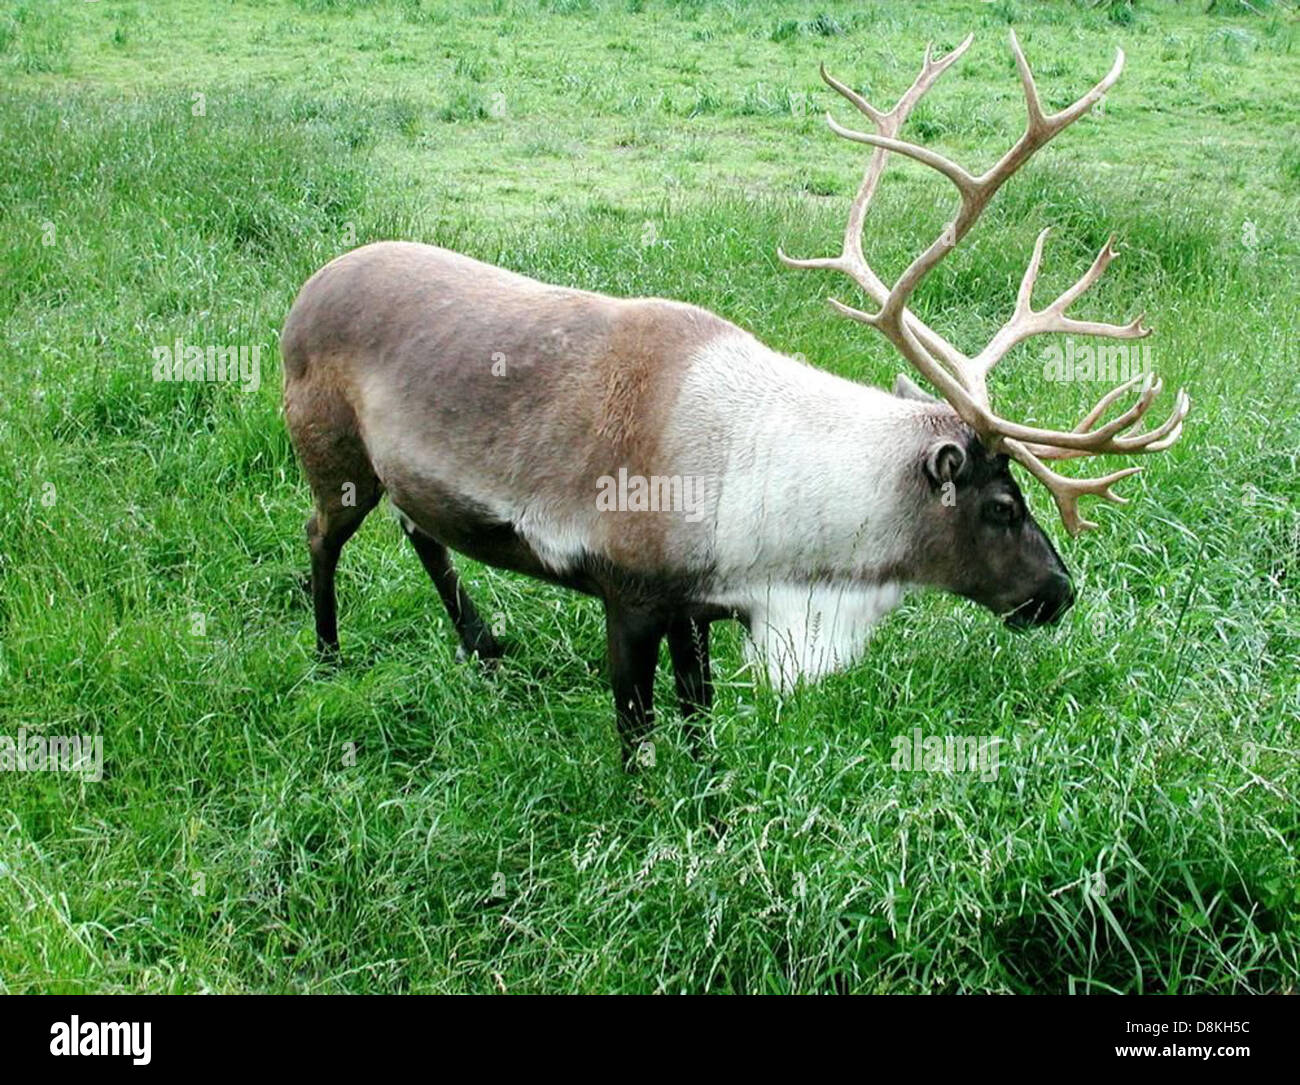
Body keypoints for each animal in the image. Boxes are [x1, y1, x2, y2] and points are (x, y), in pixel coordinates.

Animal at [281, 31, 1188, 767]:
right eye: (1002, 505)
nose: (1060, 591)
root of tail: (302, 293)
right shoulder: (629, 594)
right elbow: (638, 735)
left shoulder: (698, 607)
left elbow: (700, 720)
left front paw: (708, 801)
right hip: (333, 457)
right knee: (323, 536)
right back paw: (327, 655)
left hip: (404, 475)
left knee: (420, 530)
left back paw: (485, 642)